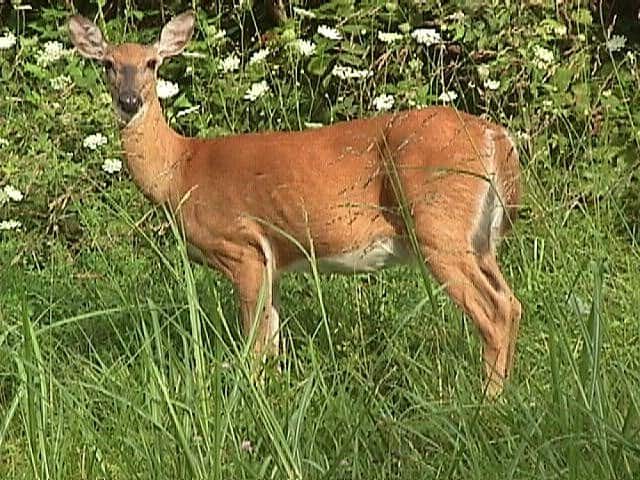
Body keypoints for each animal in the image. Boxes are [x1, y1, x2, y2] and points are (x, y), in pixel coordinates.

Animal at [68, 10, 522, 397]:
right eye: (108, 63)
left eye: (151, 64)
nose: (129, 101)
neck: (180, 170)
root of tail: (497, 137)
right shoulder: (272, 259)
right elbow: (271, 342)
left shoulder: (241, 246)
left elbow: (254, 346)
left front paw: (252, 400)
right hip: (479, 238)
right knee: (512, 302)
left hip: (436, 226)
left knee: (495, 310)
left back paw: (486, 401)